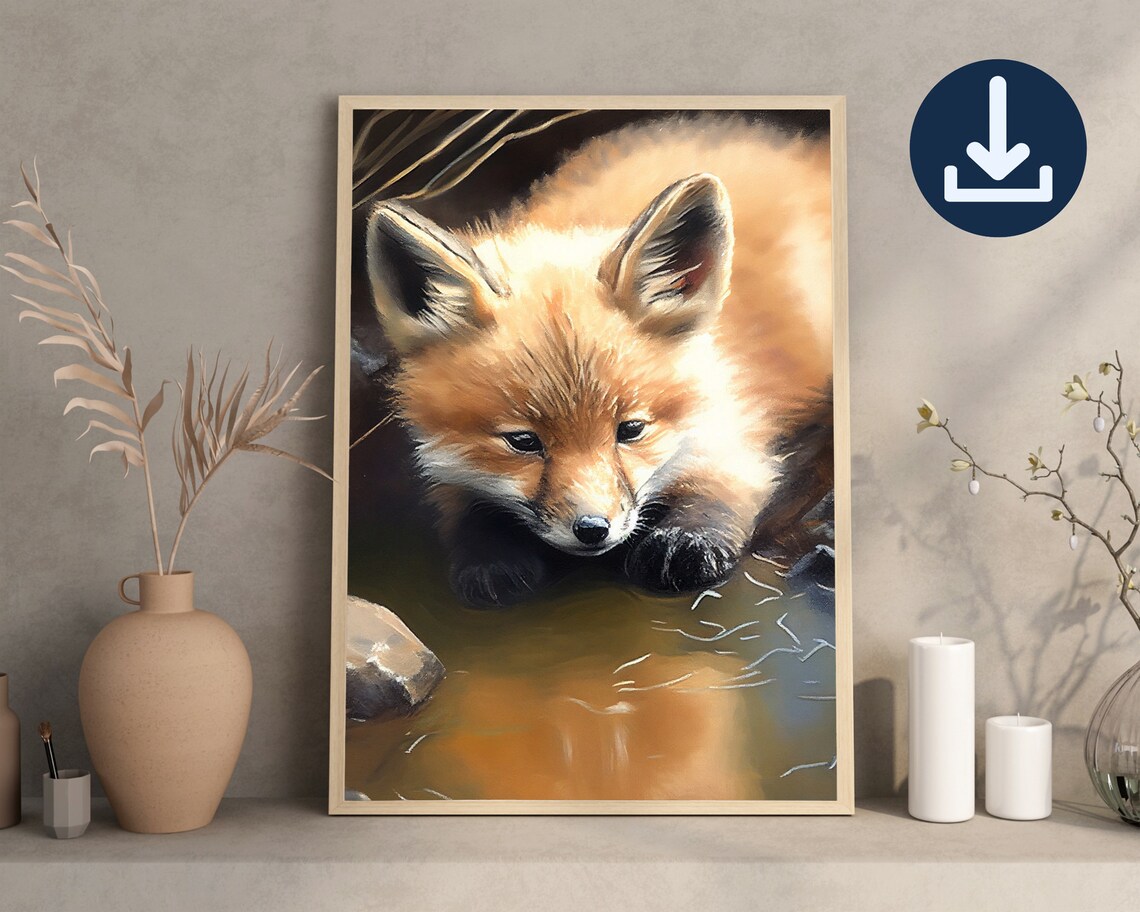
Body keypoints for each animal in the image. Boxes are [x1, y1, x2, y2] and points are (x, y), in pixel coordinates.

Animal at [363, 115, 834, 608]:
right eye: (522, 441)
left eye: (631, 430)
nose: (592, 530)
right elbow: (465, 506)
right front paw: (490, 557)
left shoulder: (730, 428)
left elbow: (730, 486)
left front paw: (686, 540)